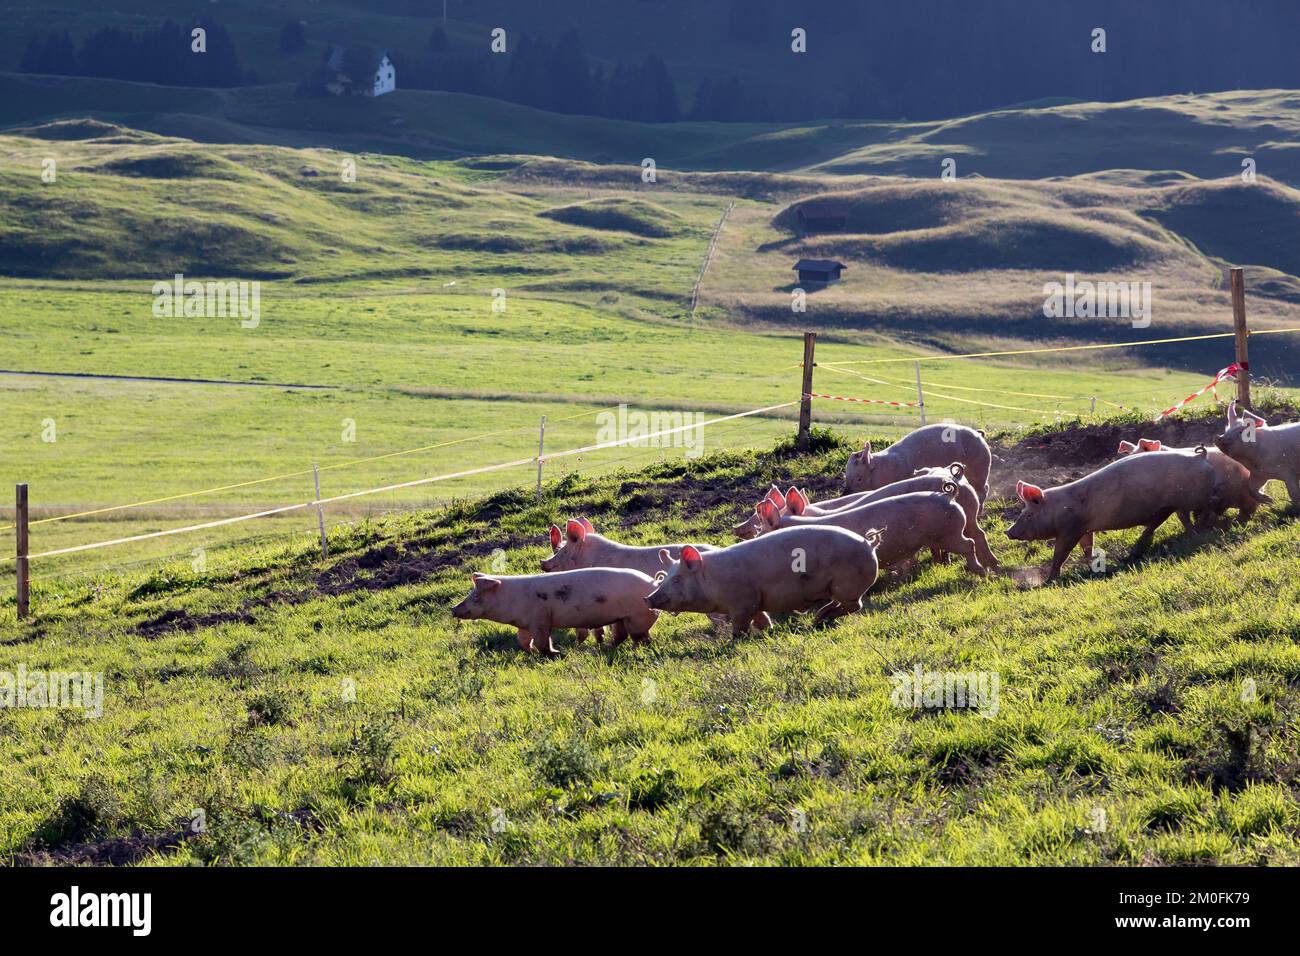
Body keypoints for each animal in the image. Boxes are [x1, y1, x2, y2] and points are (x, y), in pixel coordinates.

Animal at [451, 568, 659, 655]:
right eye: (471, 593)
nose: (453, 609)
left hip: (637, 617)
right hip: (622, 618)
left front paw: (557, 653)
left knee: (641, 638)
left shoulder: (540, 619)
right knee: (621, 635)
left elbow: (543, 640)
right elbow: (523, 640)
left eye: (476, 596)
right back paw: (606, 647)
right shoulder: (524, 623)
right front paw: (530, 652)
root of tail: (654, 584)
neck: (512, 598)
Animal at [645, 526, 880, 637]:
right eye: (665, 577)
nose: (647, 599)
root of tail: (868, 543)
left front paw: (736, 639)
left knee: (855, 605)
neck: (713, 580)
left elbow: (741, 625)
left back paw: (820, 618)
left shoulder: (743, 601)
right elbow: (761, 618)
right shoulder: (755, 601)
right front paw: (769, 630)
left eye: (677, 579)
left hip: (847, 585)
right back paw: (819, 618)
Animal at [845, 424, 992, 510]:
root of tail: (978, 434)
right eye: (845, 475)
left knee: (984, 489)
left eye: (859, 478)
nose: (844, 494)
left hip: (980, 468)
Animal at [1006, 448, 1217, 583]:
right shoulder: (1084, 528)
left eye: (1028, 515)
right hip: (1167, 506)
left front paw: (1050, 581)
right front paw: (1091, 562)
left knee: (1196, 513)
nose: (1008, 532)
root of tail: (1201, 457)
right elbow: (1087, 546)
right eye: (1022, 512)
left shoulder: (1070, 529)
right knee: (1159, 523)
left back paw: (1197, 533)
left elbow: (1060, 554)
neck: (1058, 508)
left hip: (1188, 500)